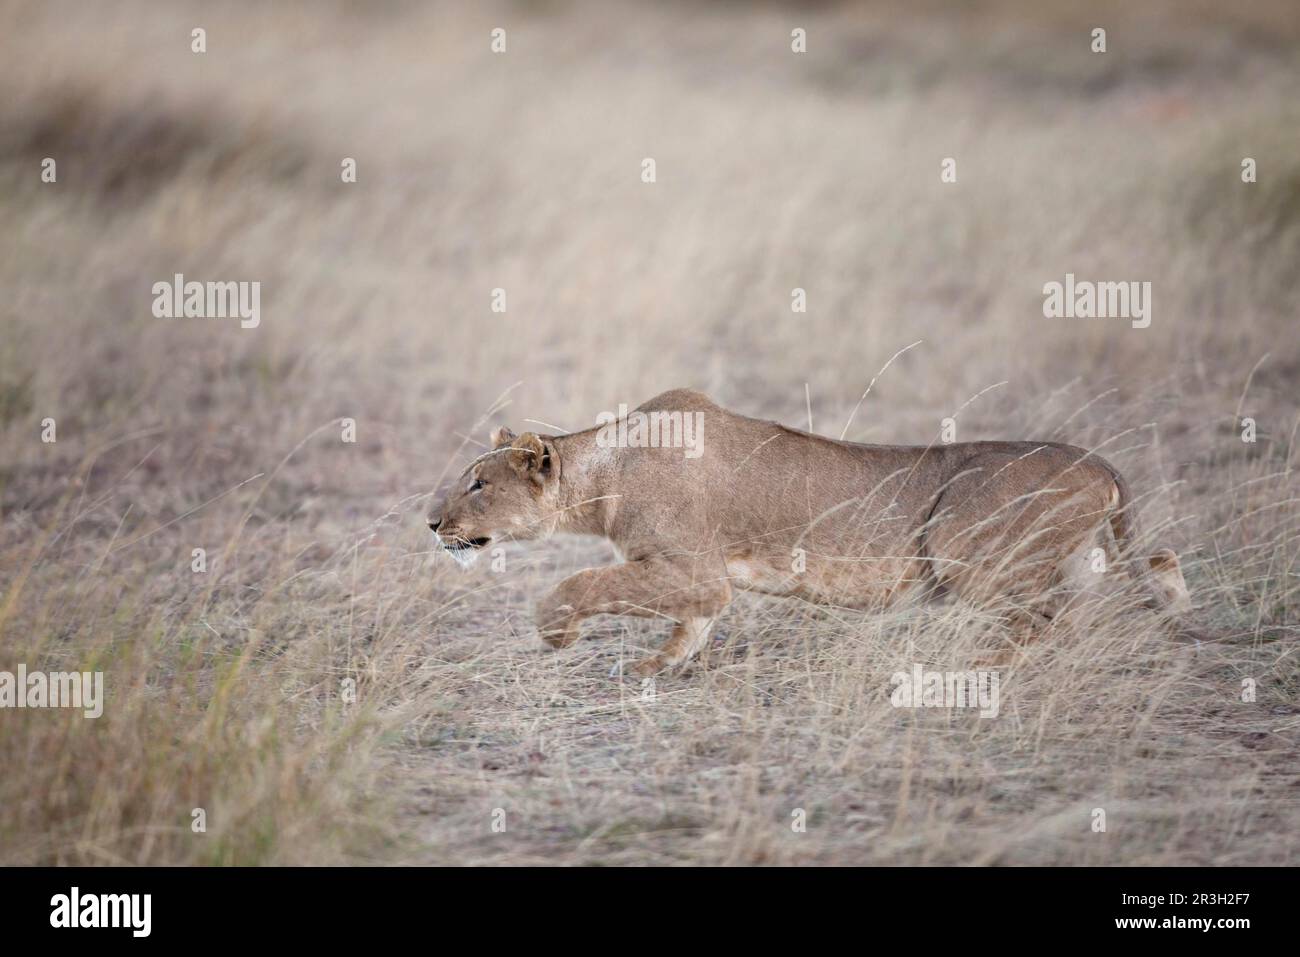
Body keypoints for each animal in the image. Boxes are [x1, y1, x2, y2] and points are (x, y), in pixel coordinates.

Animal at [427, 389, 1192, 675]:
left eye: (477, 483)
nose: (431, 522)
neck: (605, 466)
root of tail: (1100, 463)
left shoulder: (690, 566)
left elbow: (583, 582)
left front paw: (556, 632)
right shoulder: (701, 581)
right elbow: (692, 623)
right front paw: (656, 668)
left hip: (961, 551)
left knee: (1050, 613)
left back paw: (984, 665)